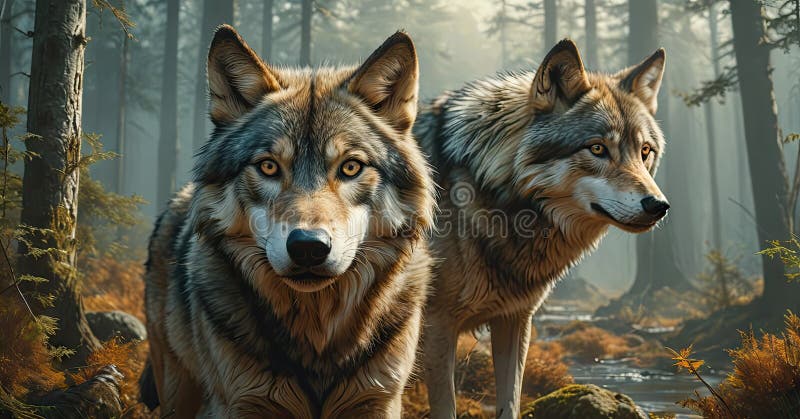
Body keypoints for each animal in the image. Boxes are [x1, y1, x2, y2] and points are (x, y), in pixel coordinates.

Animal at [140, 25, 435, 418]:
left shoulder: (378, 400)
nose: (308, 247)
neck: (316, 339)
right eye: (268, 166)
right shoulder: (242, 402)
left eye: (351, 167)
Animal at [415, 39, 670, 418]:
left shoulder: (516, 319)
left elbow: (510, 401)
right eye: (597, 148)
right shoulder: (437, 326)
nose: (658, 205)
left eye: (645, 151)